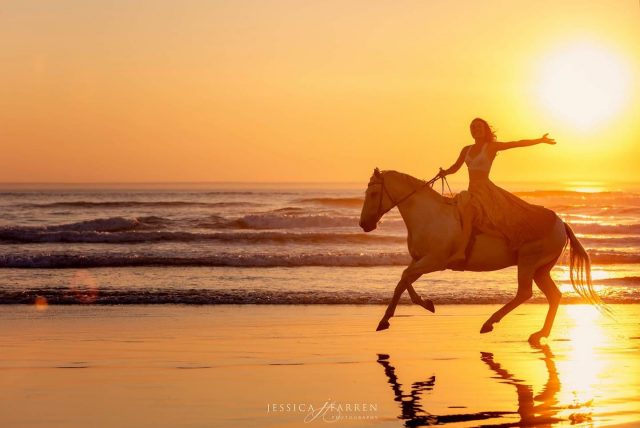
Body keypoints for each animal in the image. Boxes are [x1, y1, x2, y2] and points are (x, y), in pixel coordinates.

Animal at [359, 168, 602, 344]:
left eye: (373, 194)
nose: (364, 224)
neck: (429, 216)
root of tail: (562, 224)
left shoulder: (434, 261)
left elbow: (404, 278)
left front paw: (405, 312)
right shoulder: (420, 260)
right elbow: (404, 280)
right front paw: (407, 311)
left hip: (528, 262)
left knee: (525, 293)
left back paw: (489, 323)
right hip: (541, 269)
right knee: (554, 295)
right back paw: (539, 334)